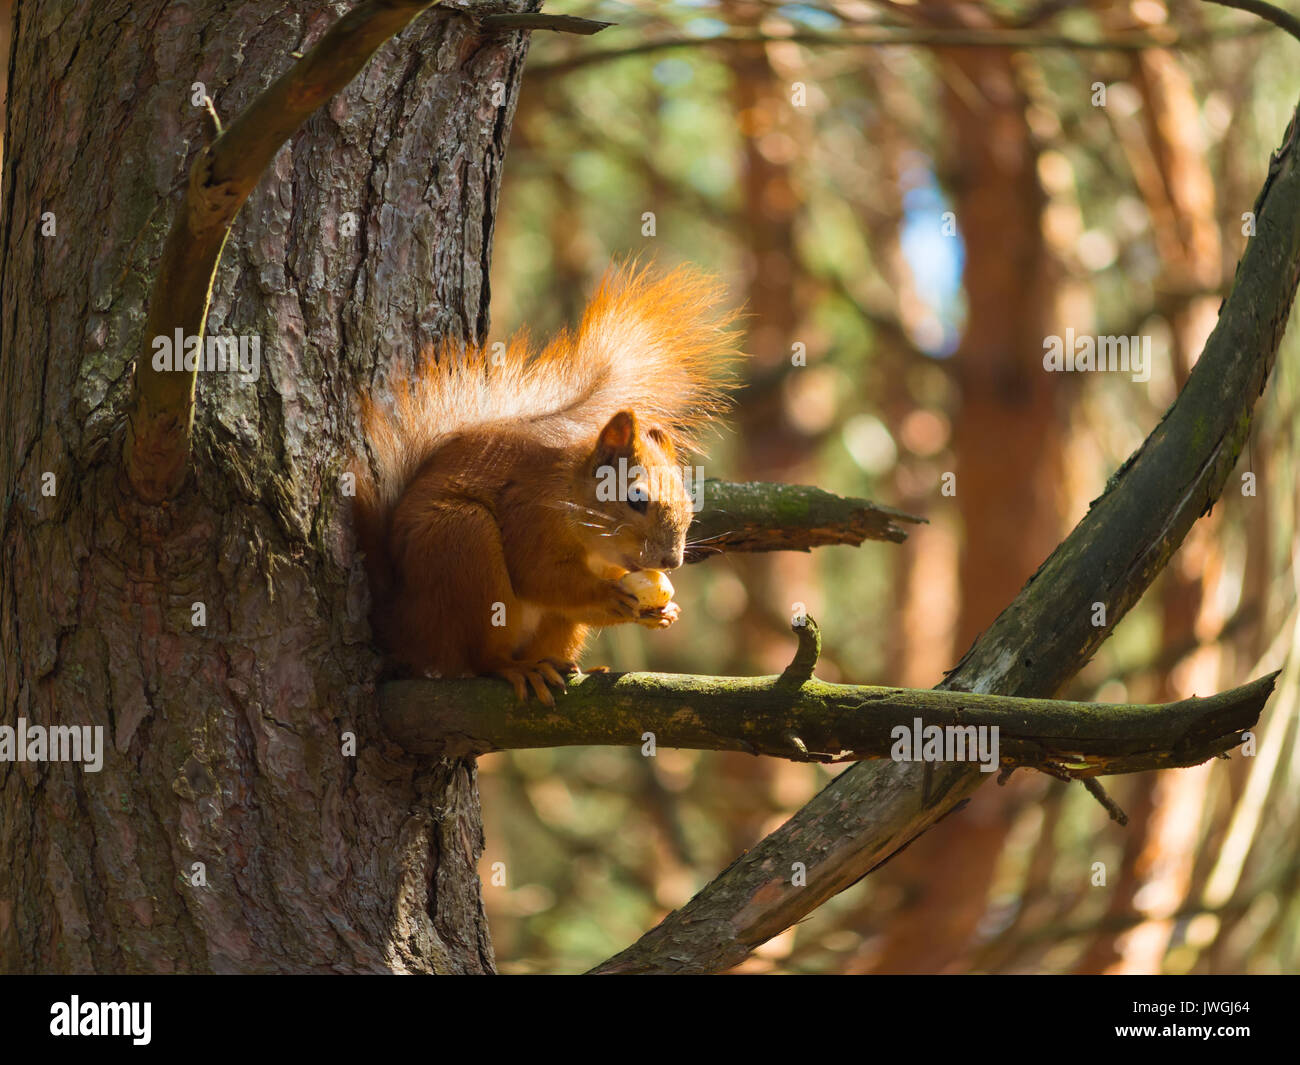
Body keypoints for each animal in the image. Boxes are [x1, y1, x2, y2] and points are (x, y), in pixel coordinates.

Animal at [352, 263, 742, 704]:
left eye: (690, 506)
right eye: (636, 497)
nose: (671, 562)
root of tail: (401, 624)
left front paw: (662, 613)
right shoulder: (530, 515)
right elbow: (538, 576)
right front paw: (609, 595)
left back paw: (564, 665)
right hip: (461, 542)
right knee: (479, 658)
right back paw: (515, 668)